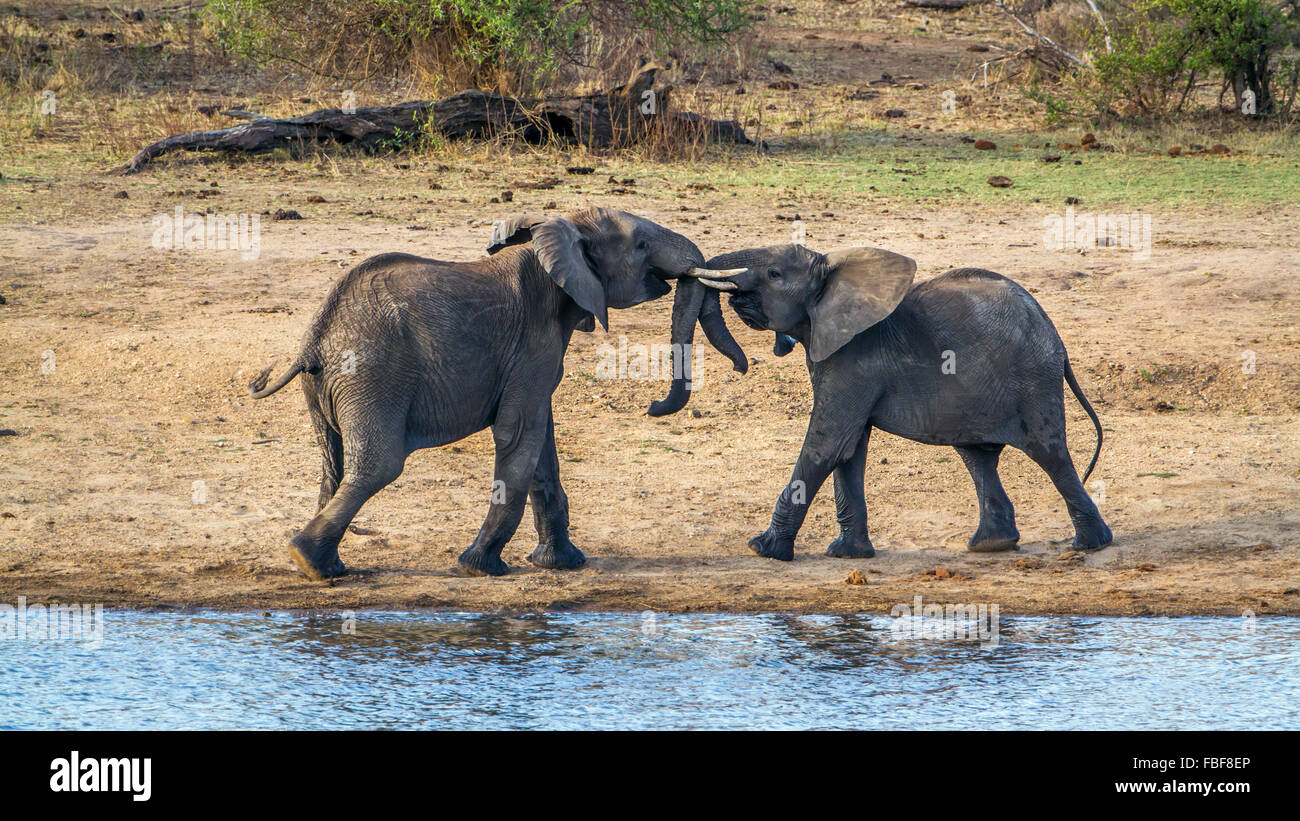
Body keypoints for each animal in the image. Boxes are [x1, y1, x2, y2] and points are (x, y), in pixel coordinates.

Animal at [247, 207, 745, 579]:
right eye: (641, 246)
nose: (652, 407)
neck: (559, 234)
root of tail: (313, 340)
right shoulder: (532, 342)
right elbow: (519, 434)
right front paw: (481, 567)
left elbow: (542, 442)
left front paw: (561, 564)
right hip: (373, 375)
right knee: (379, 465)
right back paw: (308, 563)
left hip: (329, 388)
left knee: (333, 464)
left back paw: (325, 565)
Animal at [684, 243, 1112, 561]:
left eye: (774, 274)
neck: (831, 271)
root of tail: (1055, 336)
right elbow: (849, 449)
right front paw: (848, 554)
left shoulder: (855, 359)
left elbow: (828, 443)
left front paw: (763, 549)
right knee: (977, 455)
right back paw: (992, 545)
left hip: (1032, 380)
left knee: (1050, 454)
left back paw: (1090, 544)